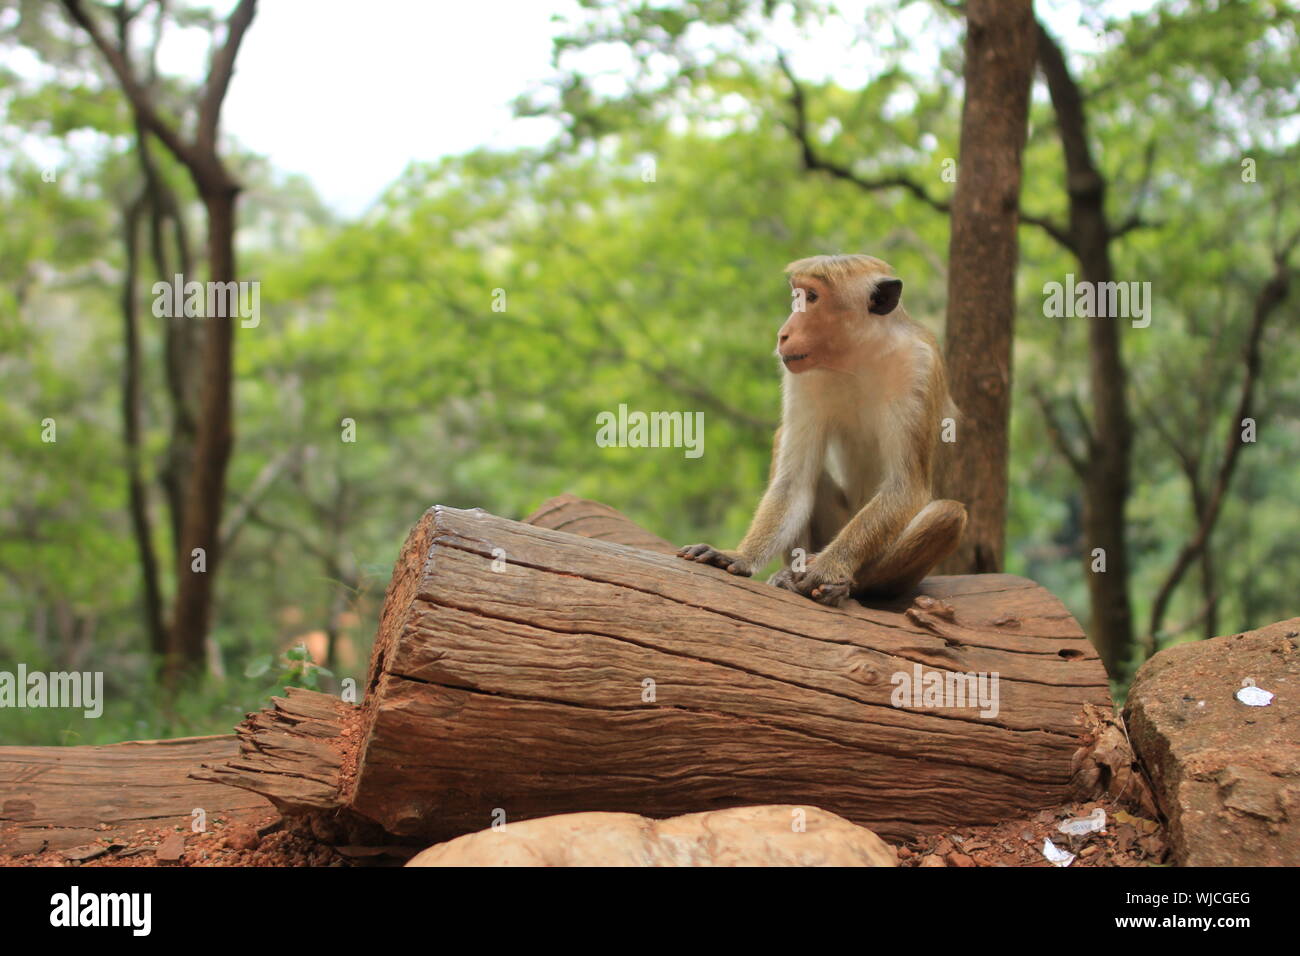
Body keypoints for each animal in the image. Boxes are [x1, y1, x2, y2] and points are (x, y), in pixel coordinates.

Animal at [678, 253, 967, 606]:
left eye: (812, 297)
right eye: (797, 296)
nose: (783, 335)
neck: (859, 354)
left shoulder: (919, 369)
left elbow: (905, 486)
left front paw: (828, 569)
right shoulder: (801, 375)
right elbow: (794, 482)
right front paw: (740, 556)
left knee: (947, 514)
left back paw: (848, 584)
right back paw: (789, 575)